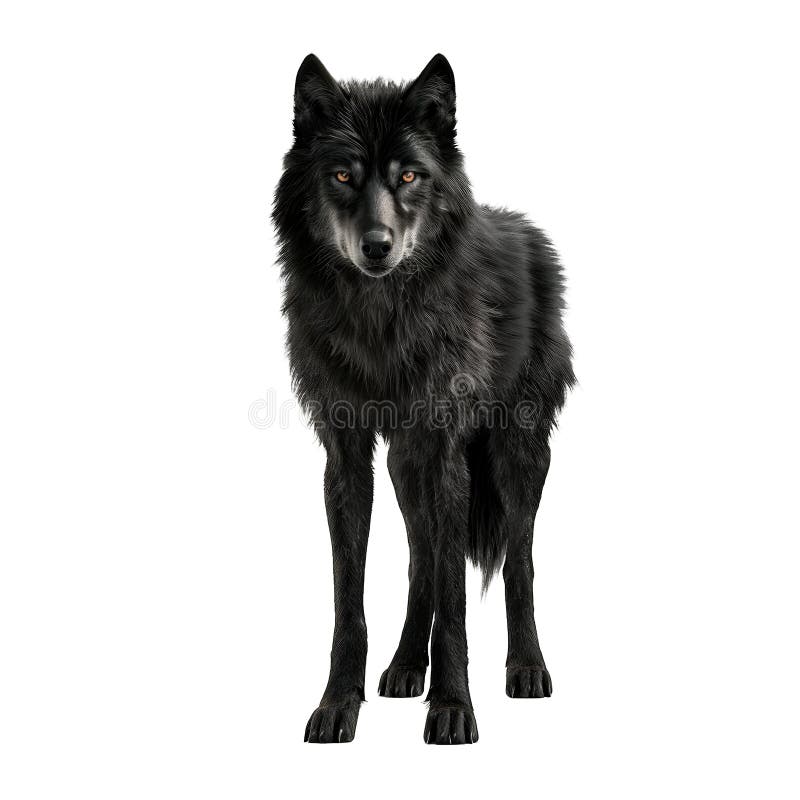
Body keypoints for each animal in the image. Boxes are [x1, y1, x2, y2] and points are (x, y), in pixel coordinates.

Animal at [273, 53, 575, 744]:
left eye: (409, 175)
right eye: (343, 175)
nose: (378, 245)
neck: (382, 321)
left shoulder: (446, 452)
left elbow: (459, 600)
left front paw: (455, 707)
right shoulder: (346, 456)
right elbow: (351, 602)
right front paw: (338, 704)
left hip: (516, 455)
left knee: (515, 562)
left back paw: (526, 668)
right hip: (406, 467)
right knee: (421, 562)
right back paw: (408, 667)